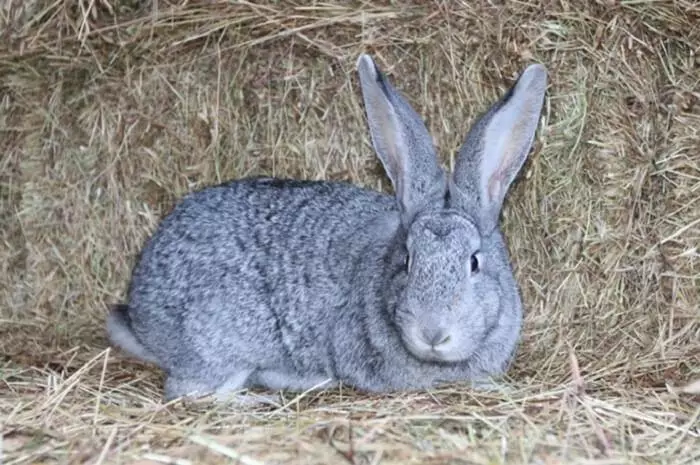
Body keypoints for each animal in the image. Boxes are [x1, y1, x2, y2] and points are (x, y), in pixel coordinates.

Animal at [106, 53, 548, 402]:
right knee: (189, 391)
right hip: (222, 340)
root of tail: (141, 310)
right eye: (406, 260)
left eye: (474, 262)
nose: (433, 332)